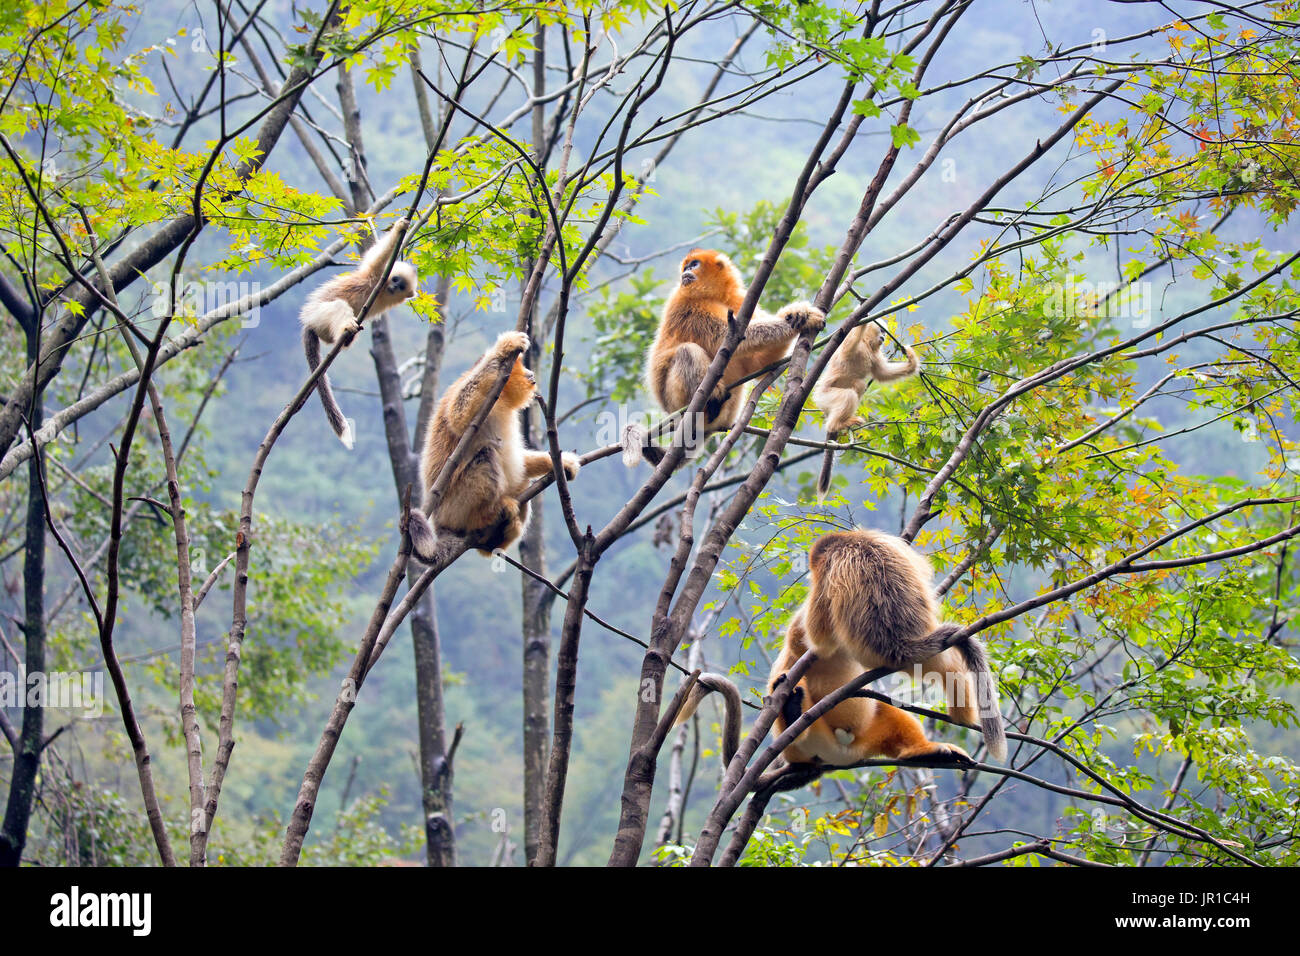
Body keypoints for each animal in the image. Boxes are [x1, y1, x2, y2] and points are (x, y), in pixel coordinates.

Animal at [299, 219, 418, 449]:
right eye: (395, 279)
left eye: (401, 285)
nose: (394, 286)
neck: (381, 292)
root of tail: (308, 322)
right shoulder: (375, 274)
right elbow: (379, 256)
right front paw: (401, 227)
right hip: (319, 313)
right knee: (338, 306)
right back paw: (347, 329)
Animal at [407, 331, 581, 560]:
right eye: (519, 367)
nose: (530, 373)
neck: (499, 398)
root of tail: (440, 524)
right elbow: (458, 415)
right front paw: (504, 347)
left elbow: (519, 463)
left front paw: (561, 462)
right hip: (454, 509)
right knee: (486, 454)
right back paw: (485, 515)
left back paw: (495, 539)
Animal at [621, 249, 825, 467]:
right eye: (686, 267)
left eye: (693, 264)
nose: (686, 272)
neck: (714, 295)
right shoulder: (685, 302)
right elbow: (727, 337)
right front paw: (803, 317)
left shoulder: (739, 300)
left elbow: (758, 364)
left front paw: (795, 315)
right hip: (675, 402)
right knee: (687, 351)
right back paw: (711, 400)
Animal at [813, 320, 918, 501]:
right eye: (881, 330)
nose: (884, 337)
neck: (866, 344)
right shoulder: (850, 341)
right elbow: (848, 346)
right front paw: (863, 318)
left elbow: (882, 374)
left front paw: (912, 360)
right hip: (825, 396)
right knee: (850, 393)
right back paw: (837, 424)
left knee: (859, 385)